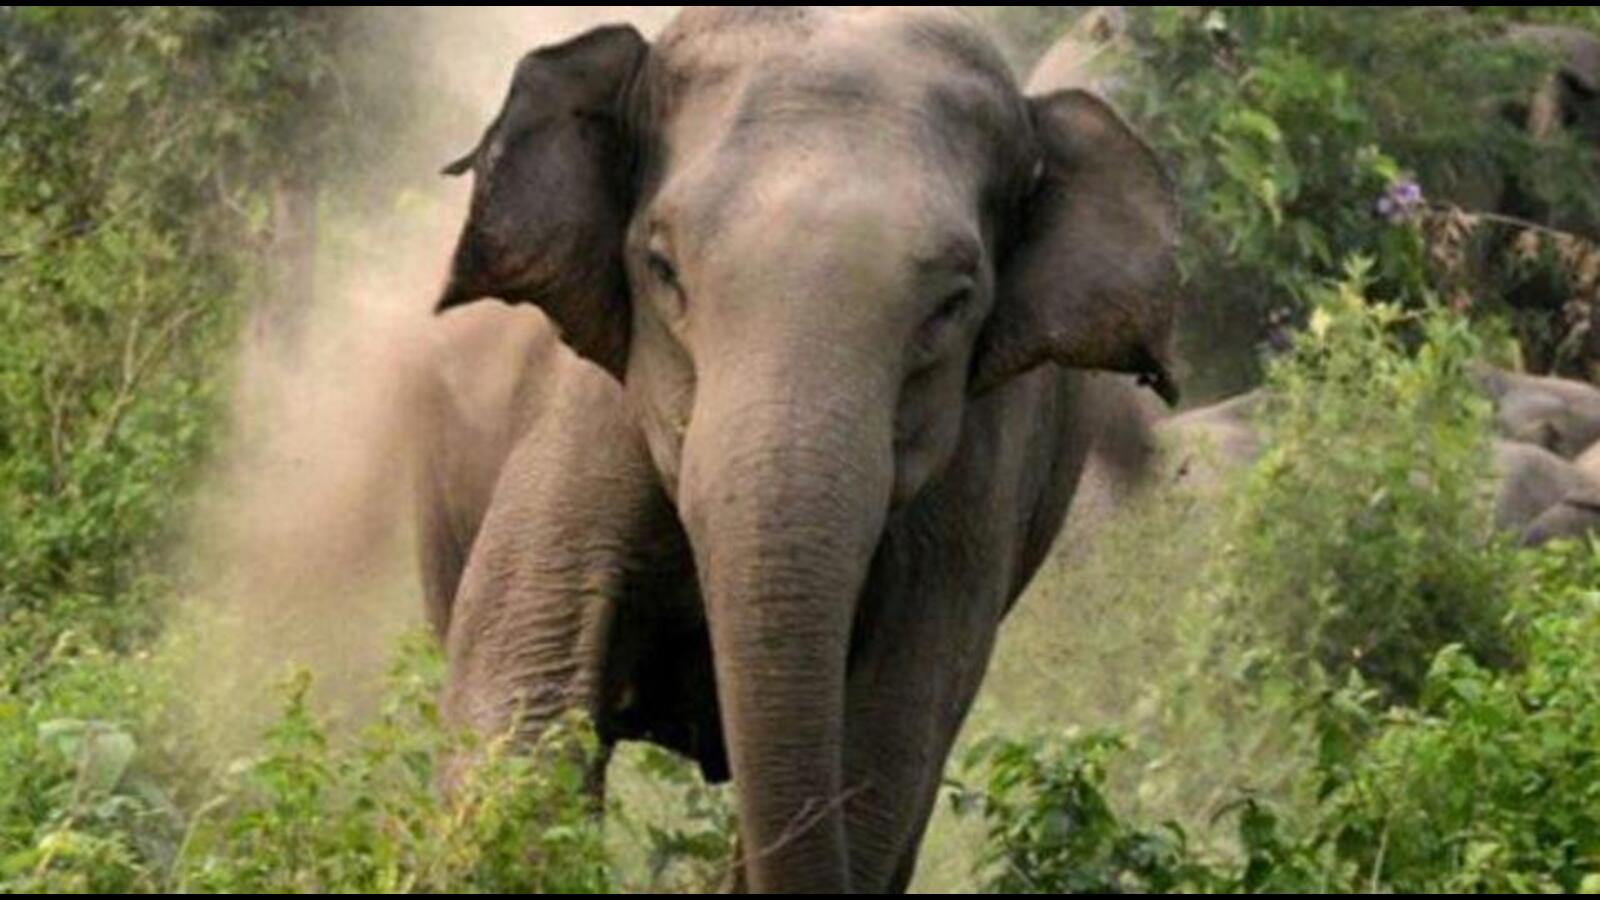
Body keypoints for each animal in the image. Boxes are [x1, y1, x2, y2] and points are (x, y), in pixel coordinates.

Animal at [428, 7, 1180, 893]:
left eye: (954, 303)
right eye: (662, 268)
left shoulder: (974, 483)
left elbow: (886, 751)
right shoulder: (581, 412)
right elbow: (521, 690)